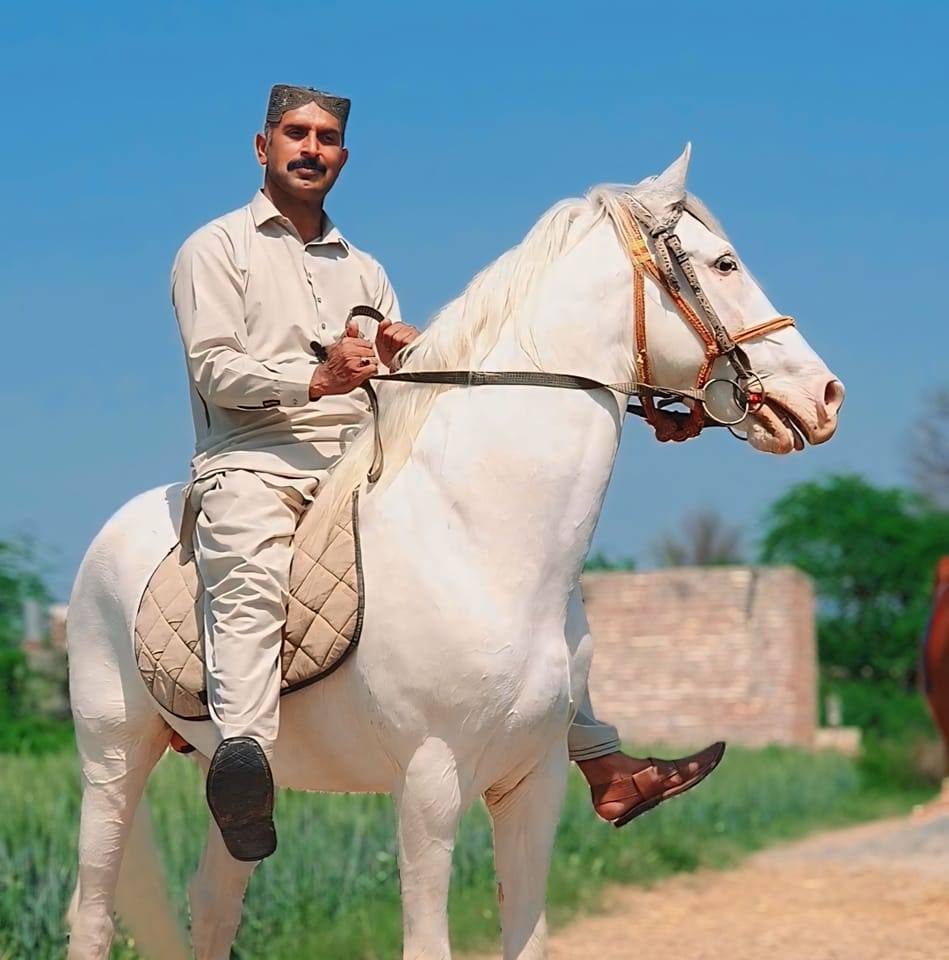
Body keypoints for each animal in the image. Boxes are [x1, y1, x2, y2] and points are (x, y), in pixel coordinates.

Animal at [65, 146, 844, 960]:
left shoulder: (534, 785)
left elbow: (528, 935)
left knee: (213, 903)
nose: (826, 396)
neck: (478, 545)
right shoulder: (428, 788)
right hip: (112, 762)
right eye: (724, 263)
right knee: (92, 912)